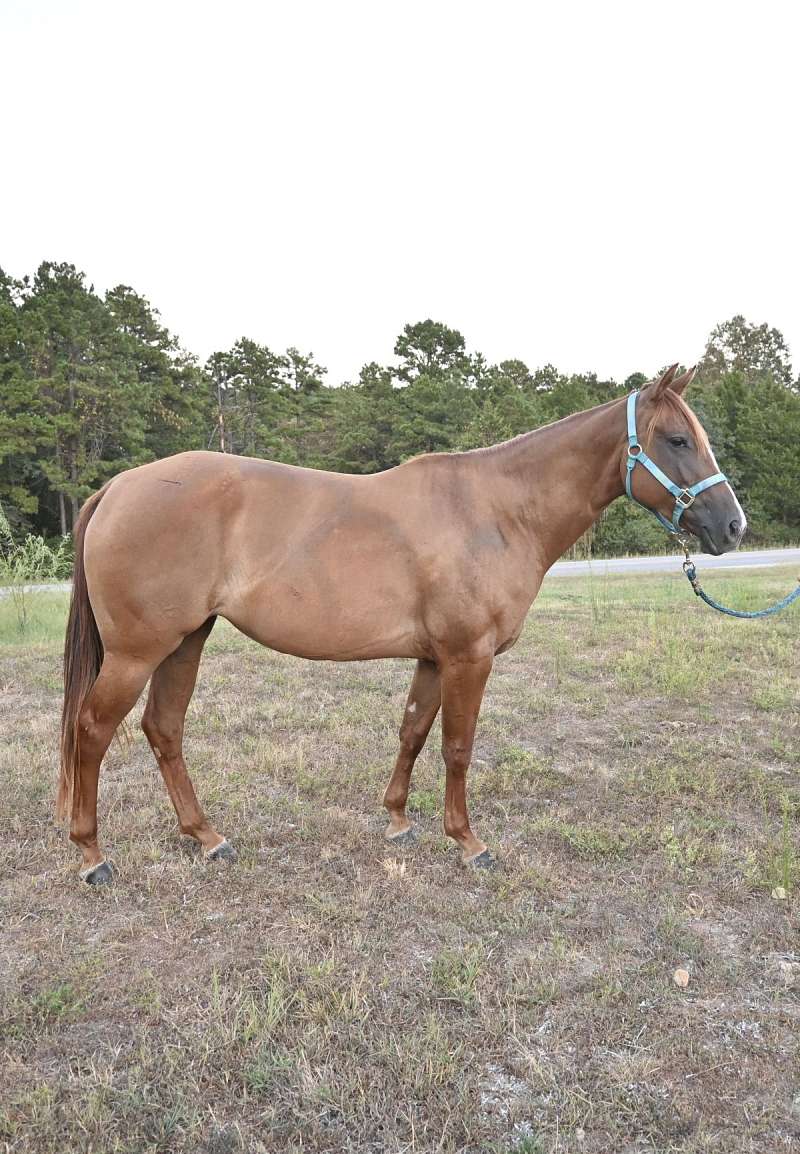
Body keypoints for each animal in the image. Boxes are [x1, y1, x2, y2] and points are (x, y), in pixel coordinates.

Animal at [58, 364, 745, 884]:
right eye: (676, 440)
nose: (733, 526)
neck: (497, 511)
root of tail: (117, 487)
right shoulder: (469, 656)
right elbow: (457, 746)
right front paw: (468, 842)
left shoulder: (434, 657)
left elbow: (413, 732)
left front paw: (398, 822)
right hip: (139, 652)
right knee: (92, 730)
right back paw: (92, 855)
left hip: (184, 642)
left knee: (163, 729)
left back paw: (206, 836)